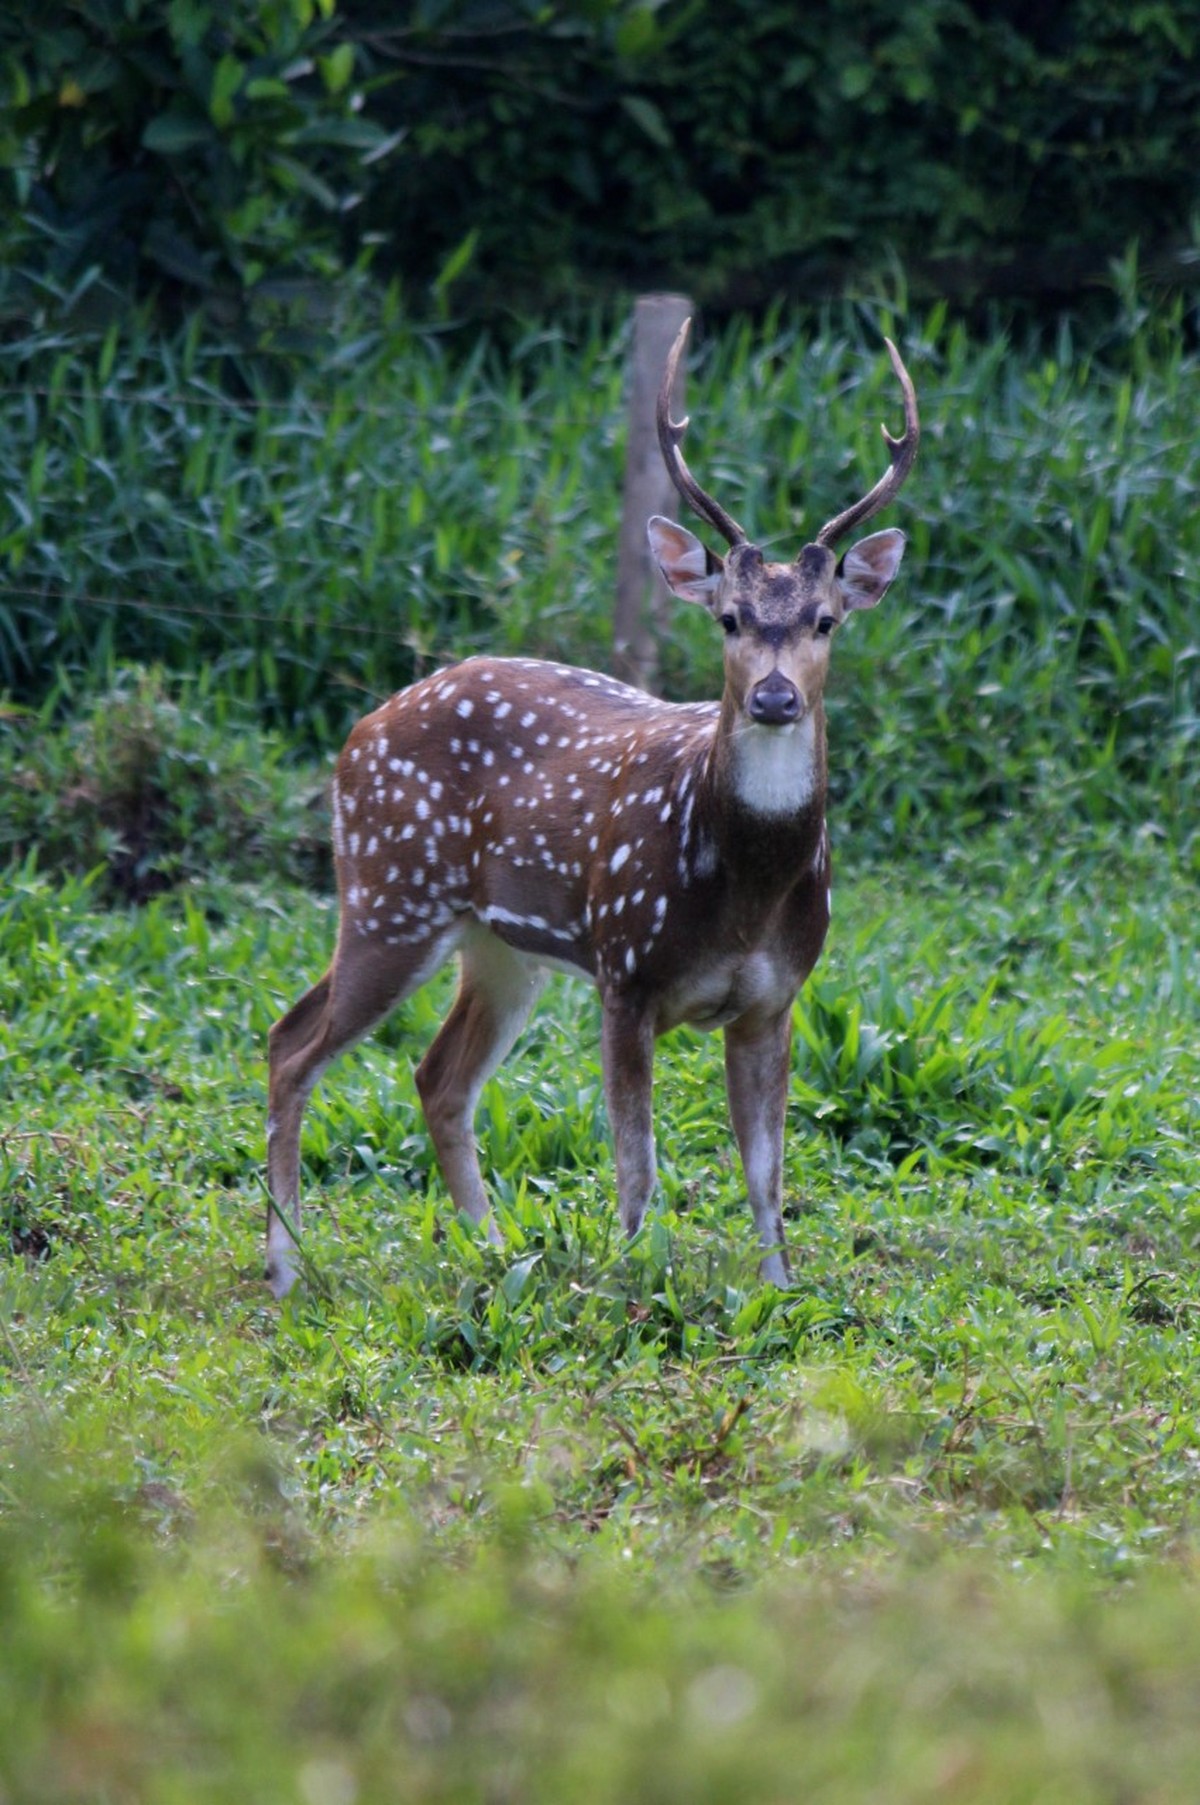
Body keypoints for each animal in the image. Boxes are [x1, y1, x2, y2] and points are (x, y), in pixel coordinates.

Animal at [265, 322, 918, 1298]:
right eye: (728, 617)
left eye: (826, 620)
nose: (774, 698)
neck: (744, 891)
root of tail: (360, 728)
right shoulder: (625, 971)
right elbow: (636, 1162)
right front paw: (637, 1281)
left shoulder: (777, 997)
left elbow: (767, 1172)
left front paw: (779, 1290)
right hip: (391, 892)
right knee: (292, 1041)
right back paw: (286, 1267)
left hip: (498, 944)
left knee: (437, 1075)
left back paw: (492, 1250)